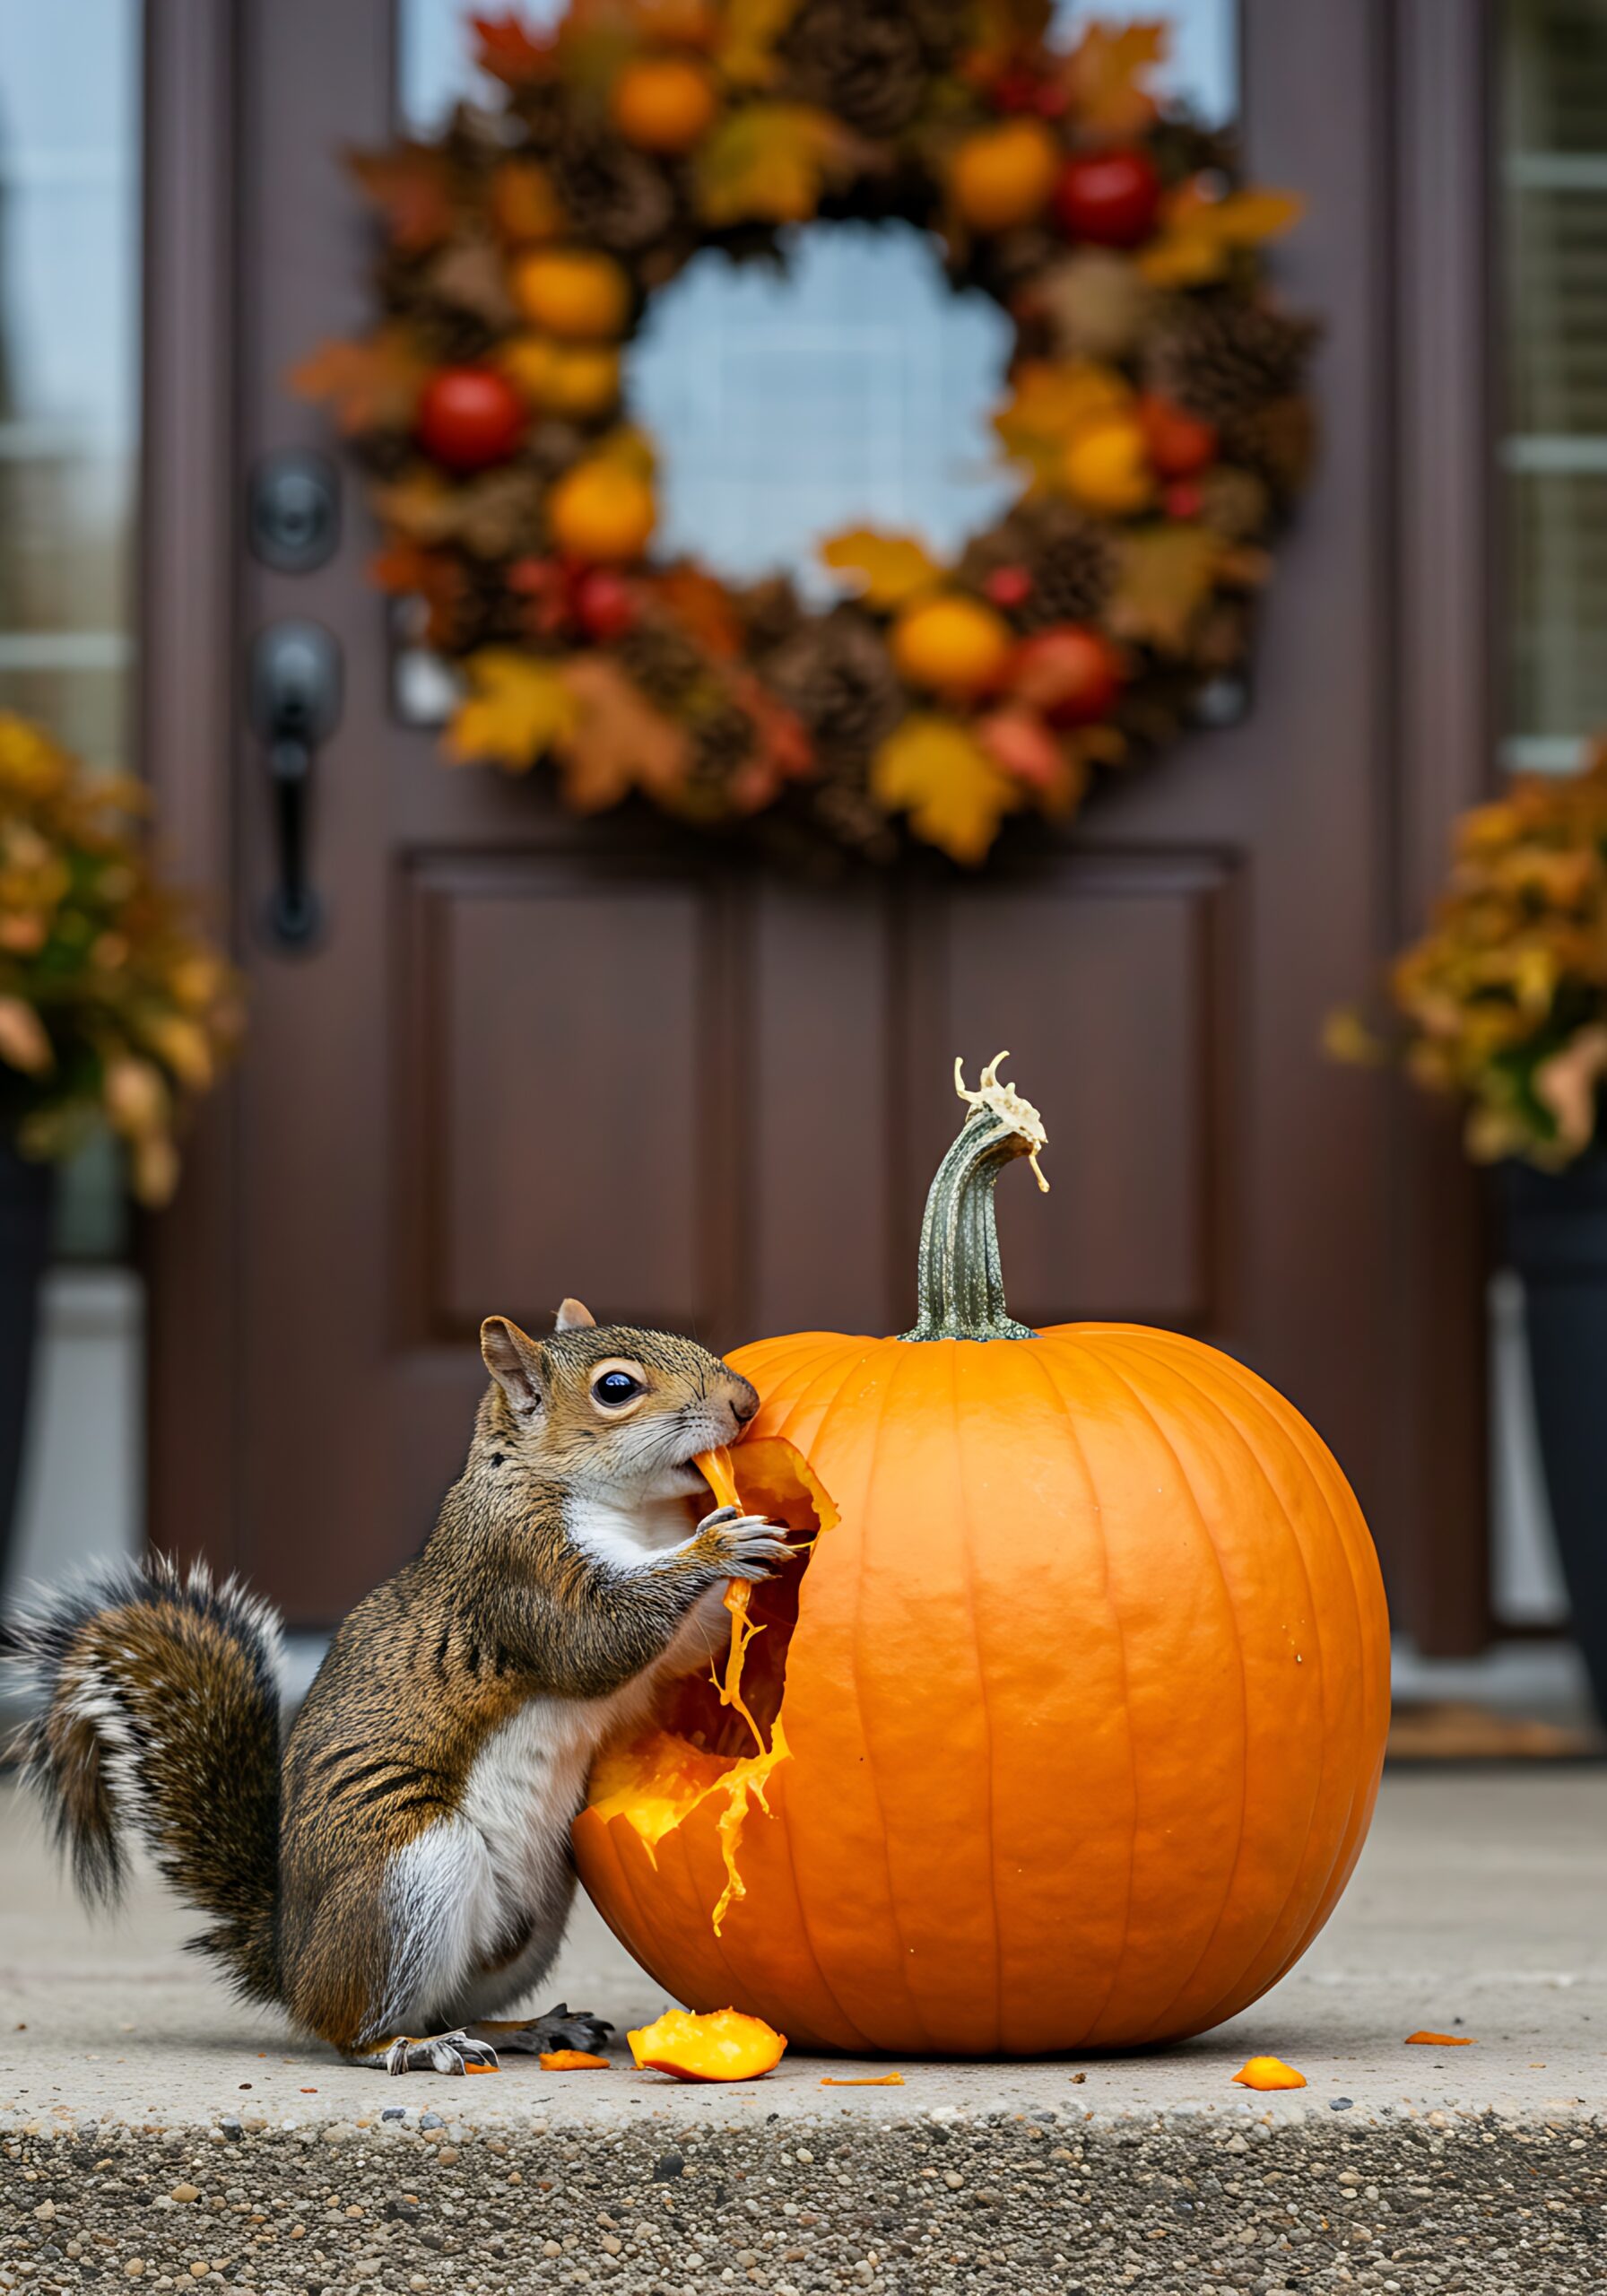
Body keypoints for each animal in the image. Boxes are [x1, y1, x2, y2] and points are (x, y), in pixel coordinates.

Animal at [7, 1300, 789, 2075]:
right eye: (617, 1388)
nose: (745, 1403)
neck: (632, 1512)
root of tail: (293, 1966)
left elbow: (689, 1644)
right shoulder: (520, 1572)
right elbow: (598, 1638)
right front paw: (718, 1547)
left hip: (533, 1918)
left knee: (451, 2002)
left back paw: (524, 2029)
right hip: (410, 1873)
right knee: (361, 2030)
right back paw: (413, 2047)